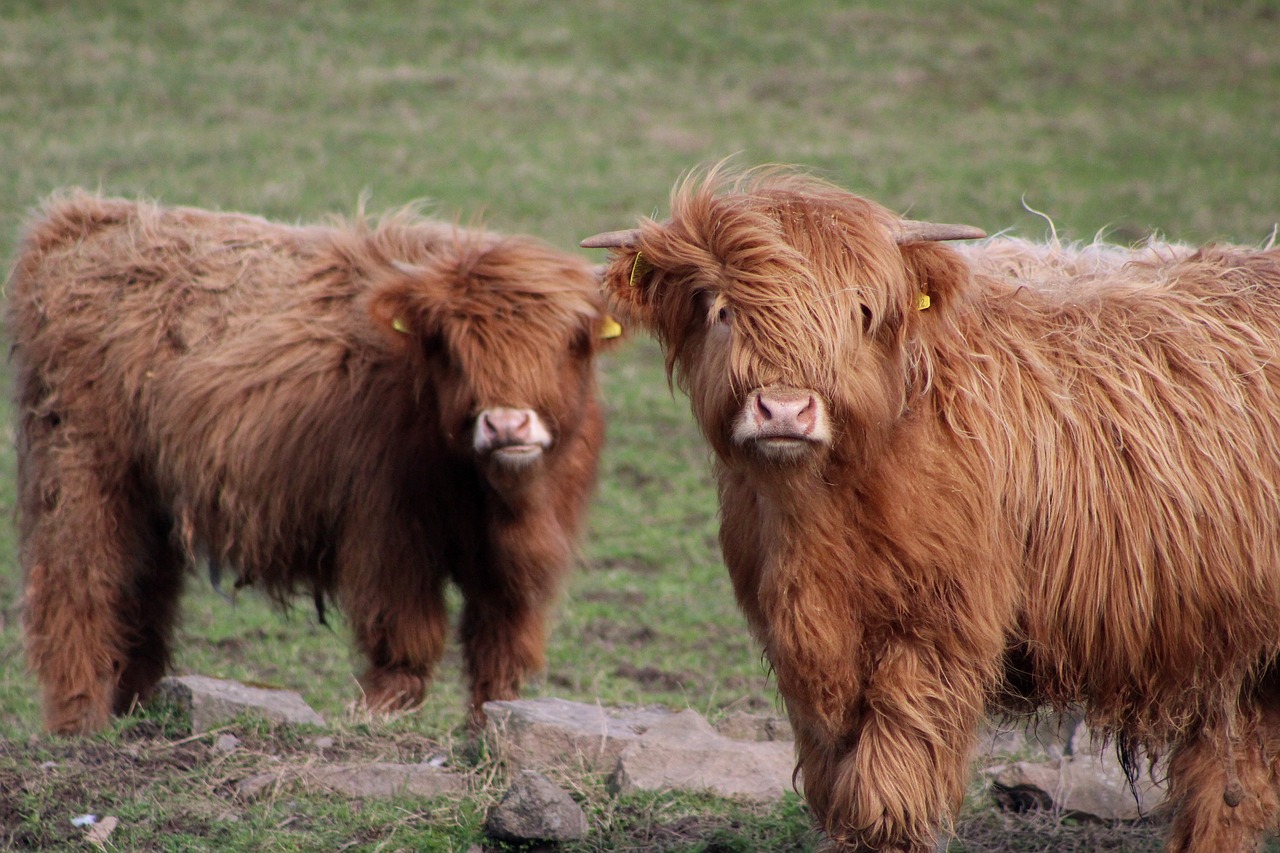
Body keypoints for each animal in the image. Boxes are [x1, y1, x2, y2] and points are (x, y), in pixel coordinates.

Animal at [8, 190, 615, 735]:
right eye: (450, 346)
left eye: (569, 340)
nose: (507, 425)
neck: (501, 502)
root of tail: (83, 222)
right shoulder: (392, 533)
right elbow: (404, 639)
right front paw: (378, 716)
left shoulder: (521, 565)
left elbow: (500, 654)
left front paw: (492, 725)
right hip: (80, 470)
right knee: (79, 587)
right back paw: (80, 723)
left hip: (150, 498)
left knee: (145, 600)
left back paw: (135, 709)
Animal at [583, 165, 1280, 853]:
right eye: (722, 309)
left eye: (861, 311)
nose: (784, 409)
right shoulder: (803, 649)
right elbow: (837, 784)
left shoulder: (936, 632)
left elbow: (887, 787)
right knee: (1227, 782)